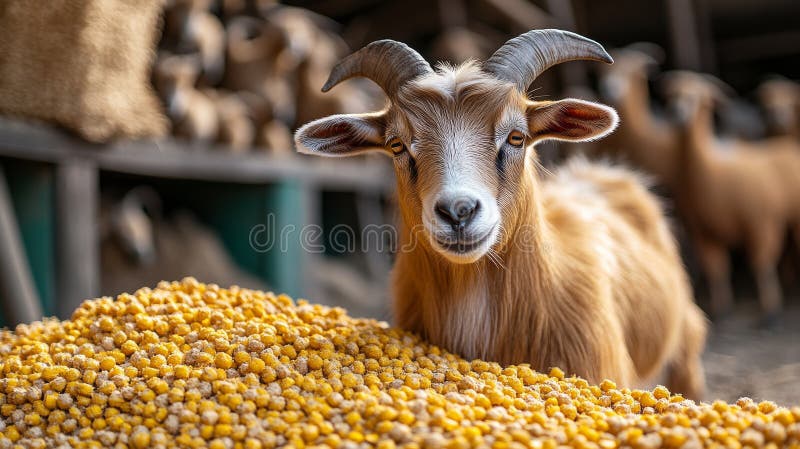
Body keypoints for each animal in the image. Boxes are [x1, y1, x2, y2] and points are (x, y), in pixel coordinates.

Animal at [663, 71, 800, 325]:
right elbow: (717, 269)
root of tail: (788, 144)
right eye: (673, 95)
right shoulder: (704, 232)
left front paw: (770, 311)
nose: (677, 113)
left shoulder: (760, 224)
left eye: (699, 96)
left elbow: (762, 266)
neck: (710, 169)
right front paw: (721, 309)